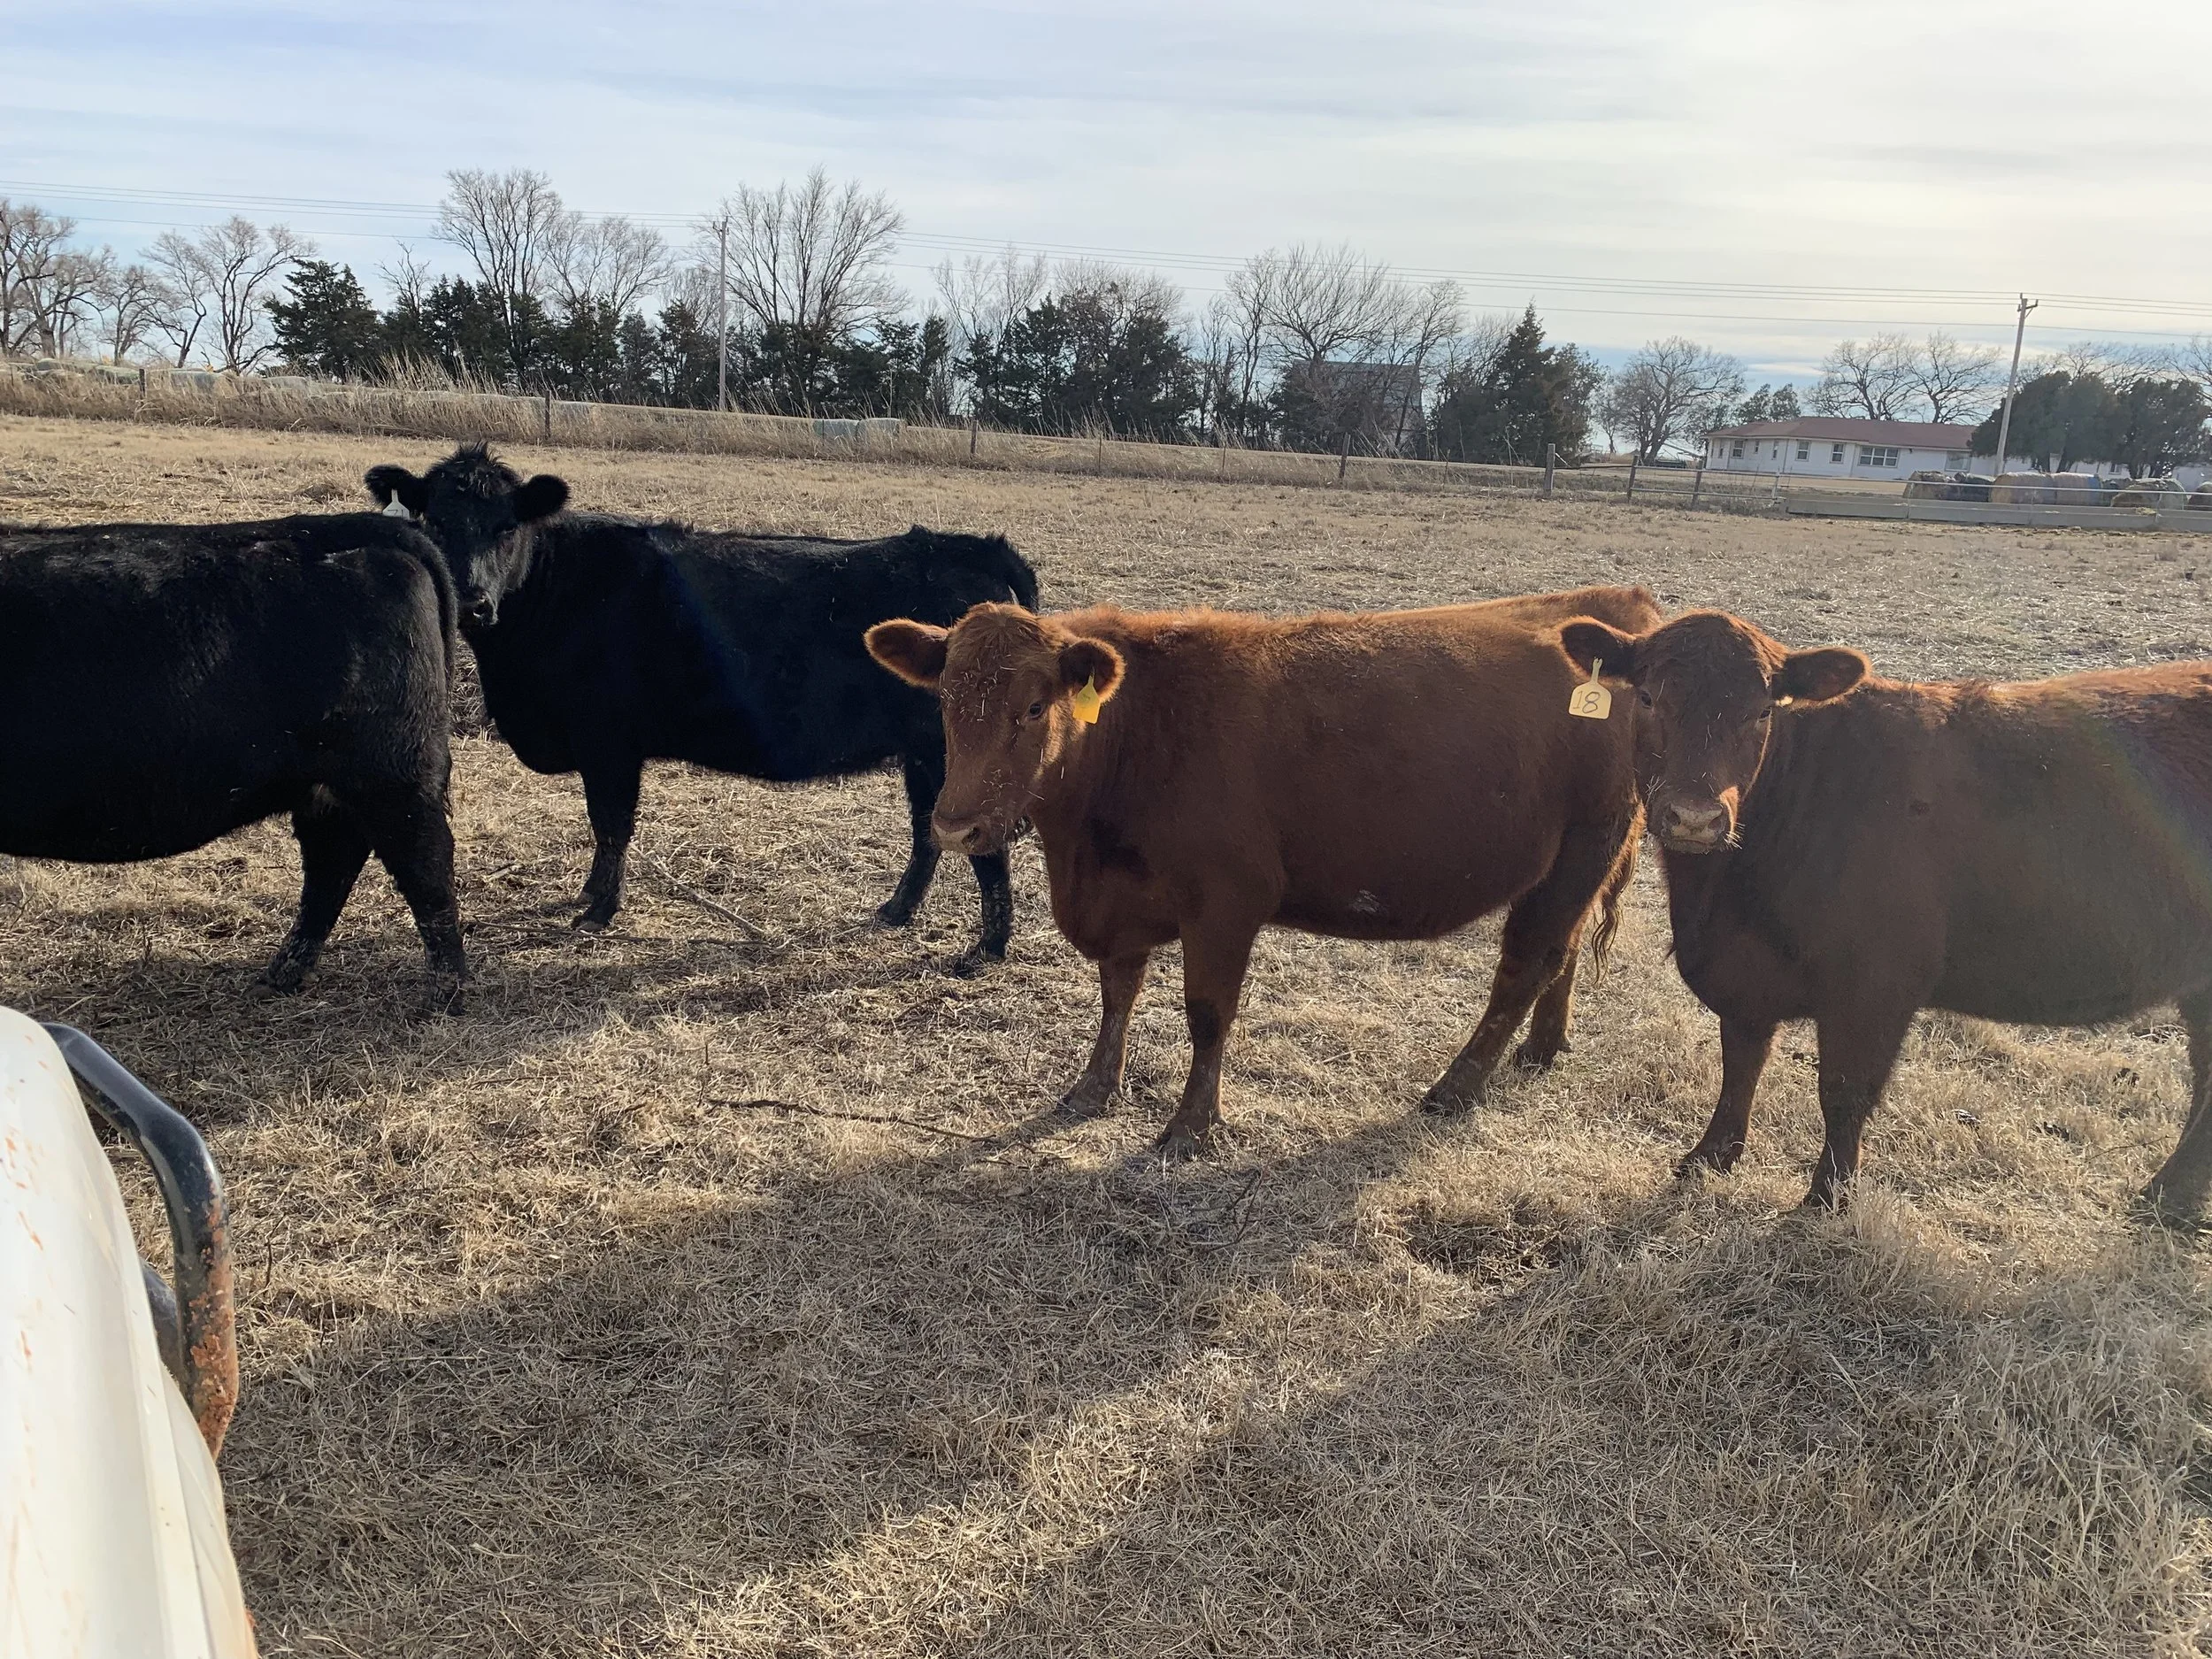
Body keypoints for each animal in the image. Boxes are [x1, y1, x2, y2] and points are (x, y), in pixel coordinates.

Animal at [0, 515, 467, 1006]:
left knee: (424, 865)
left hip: (392, 775)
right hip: (328, 783)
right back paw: (283, 974)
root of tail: (356, 525)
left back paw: (446, 991)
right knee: (334, 860)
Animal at [365, 446, 1039, 959]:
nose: (472, 601)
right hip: (923, 752)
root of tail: (964, 546)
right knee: (928, 831)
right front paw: (590, 899)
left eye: (507, 526)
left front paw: (598, 909)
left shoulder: (609, 742)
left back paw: (987, 949)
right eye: (435, 522)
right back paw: (897, 912)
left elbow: (611, 824)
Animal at [865, 586, 1661, 1155]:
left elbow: (1207, 1014)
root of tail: (1621, 608)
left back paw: (1455, 1088)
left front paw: (1191, 1126)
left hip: (1583, 845)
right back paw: (1541, 1050)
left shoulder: (1226, 903)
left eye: (1034, 706)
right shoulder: (1123, 904)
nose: (954, 824)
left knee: (1526, 964)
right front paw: (1094, 1087)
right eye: (945, 700)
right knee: (1560, 954)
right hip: (1577, 861)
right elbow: (1117, 995)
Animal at [1554, 608, 2212, 1219]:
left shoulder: (1875, 984)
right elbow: (1740, 1063)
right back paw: (2171, 1199)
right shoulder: (1745, 975)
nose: (1695, 817)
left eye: (1763, 711)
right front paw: (1710, 1157)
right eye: (1647, 697)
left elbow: (1843, 1090)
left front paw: (1826, 1196)